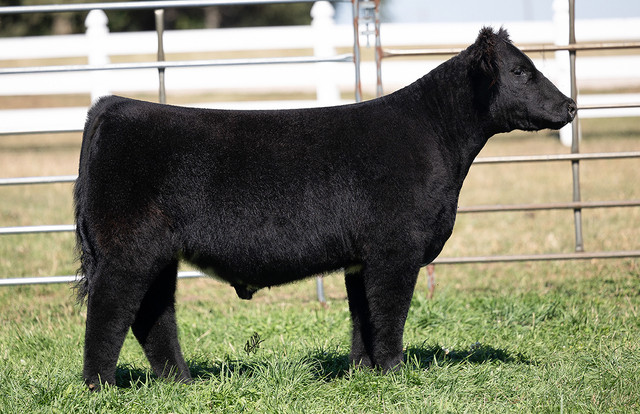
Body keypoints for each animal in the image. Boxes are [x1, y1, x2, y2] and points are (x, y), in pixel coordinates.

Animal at [74, 27, 576, 390]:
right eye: (520, 71)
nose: (571, 105)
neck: (436, 137)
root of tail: (111, 106)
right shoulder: (396, 250)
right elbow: (389, 314)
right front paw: (395, 372)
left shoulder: (362, 258)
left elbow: (363, 317)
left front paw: (362, 373)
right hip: (128, 250)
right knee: (110, 310)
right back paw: (101, 388)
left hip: (159, 255)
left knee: (153, 315)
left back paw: (180, 383)